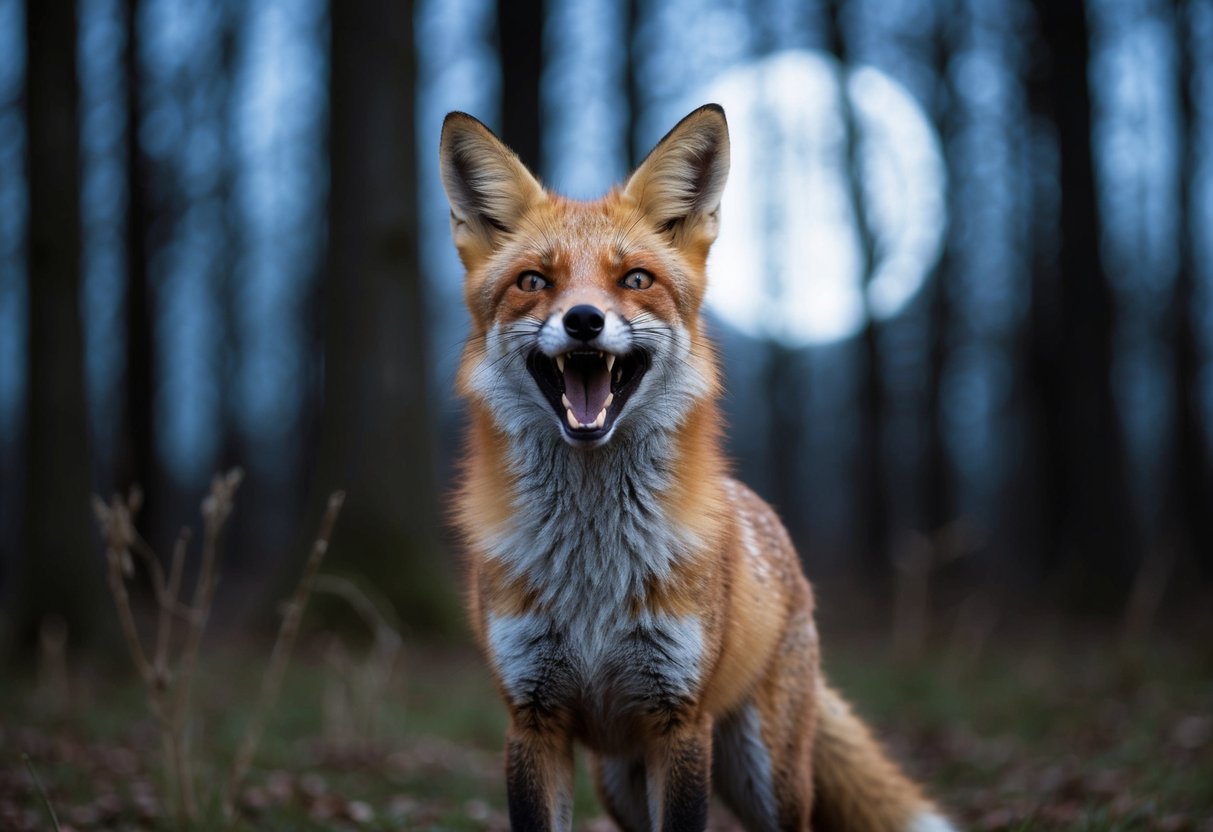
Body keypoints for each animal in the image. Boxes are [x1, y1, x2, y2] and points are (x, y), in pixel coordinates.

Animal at [439, 103, 957, 832]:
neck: (592, 573)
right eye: (534, 282)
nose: (583, 320)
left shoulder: (678, 720)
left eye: (634, 279)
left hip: (765, 775)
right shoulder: (533, 720)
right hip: (618, 780)